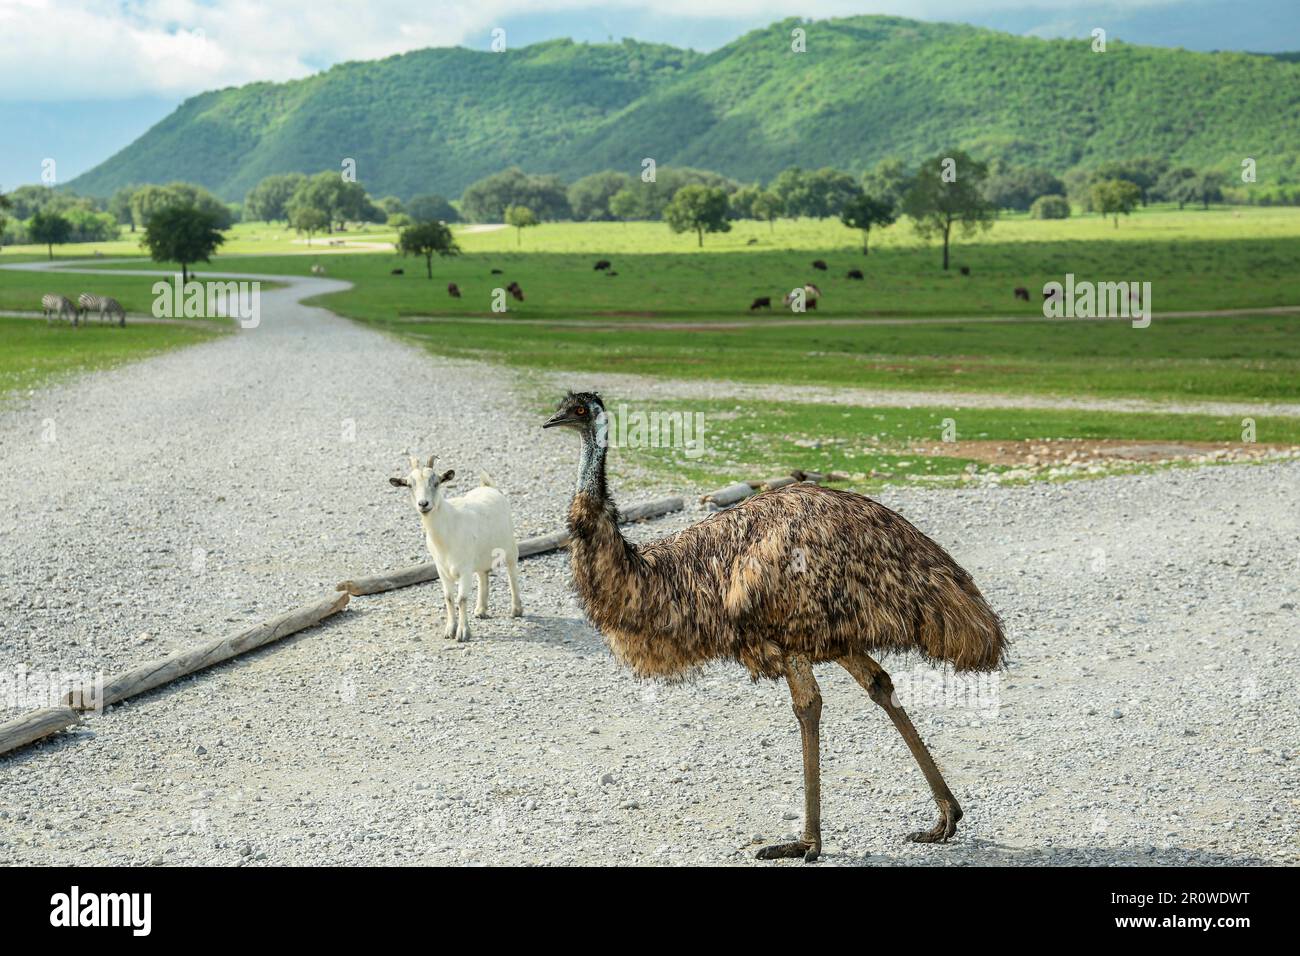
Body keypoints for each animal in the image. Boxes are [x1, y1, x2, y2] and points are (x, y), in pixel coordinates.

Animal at [389, 455, 523, 641]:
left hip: (509, 546)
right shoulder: (442, 569)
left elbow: (462, 599)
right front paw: (450, 630)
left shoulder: (464, 568)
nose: (423, 504)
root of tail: (488, 487)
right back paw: (481, 610)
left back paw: (516, 610)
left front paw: (463, 632)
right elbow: (449, 598)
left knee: (512, 574)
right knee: (483, 575)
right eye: (409, 485)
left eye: (436, 482)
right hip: (480, 555)